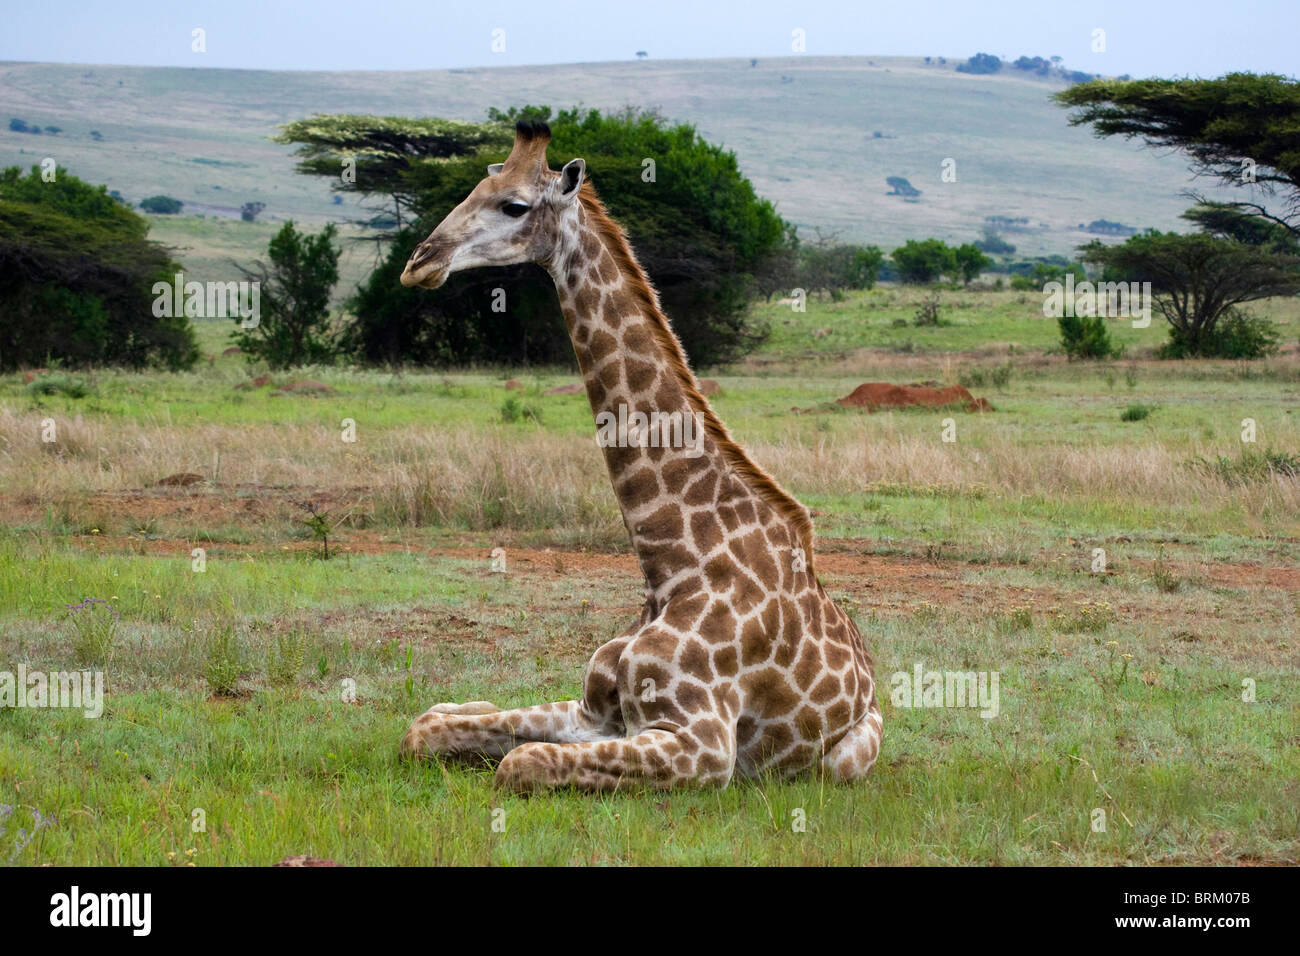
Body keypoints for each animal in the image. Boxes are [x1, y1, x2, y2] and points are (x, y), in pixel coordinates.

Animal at [397, 120, 881, 792]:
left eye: (514, 205)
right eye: (474, 186)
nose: (420, 263)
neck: (672, 565)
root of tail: (873, 680)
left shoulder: (703, 747)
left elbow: (520, 763)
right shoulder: (592, 710)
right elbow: (423, 730)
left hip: (844, 758)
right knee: (443, 712)